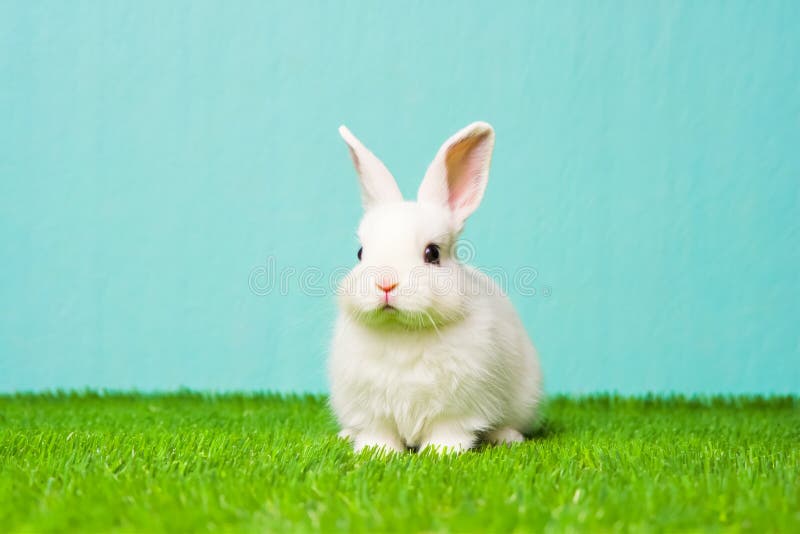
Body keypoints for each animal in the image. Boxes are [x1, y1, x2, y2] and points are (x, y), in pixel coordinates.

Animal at [329, 122, 543, 453]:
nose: (385, 283)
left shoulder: (458, 408)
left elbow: (449, 430)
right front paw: (378, 453)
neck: (402, 332)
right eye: (361, 253)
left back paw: (508, 437)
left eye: (432, 253)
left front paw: (441, 453)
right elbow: (379, 432)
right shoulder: (373, 409)